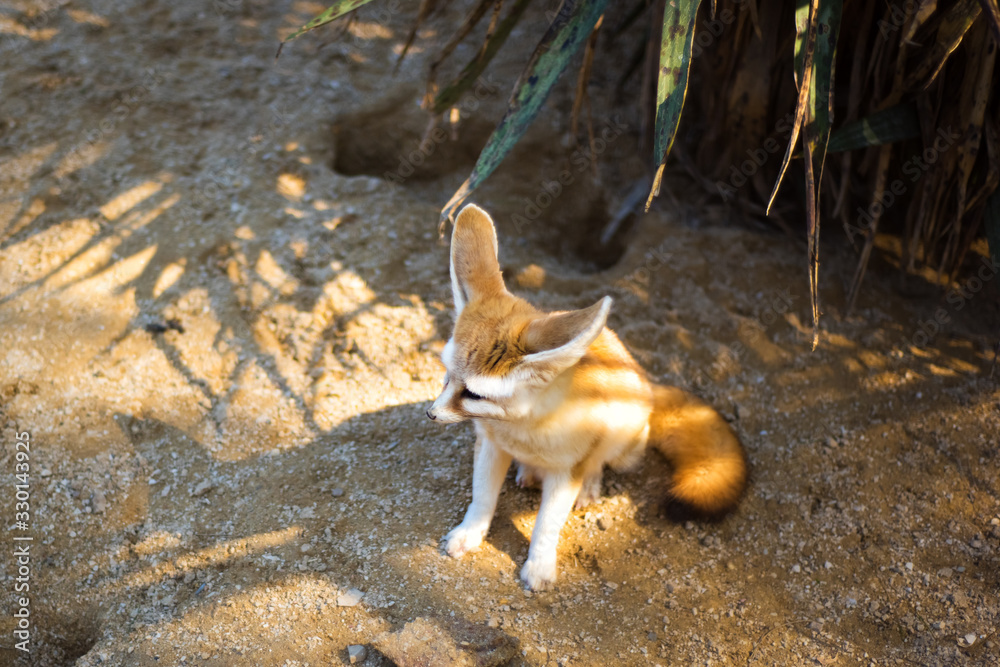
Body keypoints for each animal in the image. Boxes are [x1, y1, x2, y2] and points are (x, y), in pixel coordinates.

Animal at [427, 204, 747, 591]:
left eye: (473, 393)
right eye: (447, 375)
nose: (431, 414)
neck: (523, 431)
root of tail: (645, 379)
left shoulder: (567, 470)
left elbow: (547, 525)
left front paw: (539, 566)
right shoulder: (491, 447)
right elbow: (483, 498)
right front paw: (469, 533)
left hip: (621, 443)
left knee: (600, 462)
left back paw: (588, 486)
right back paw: (528, 471)